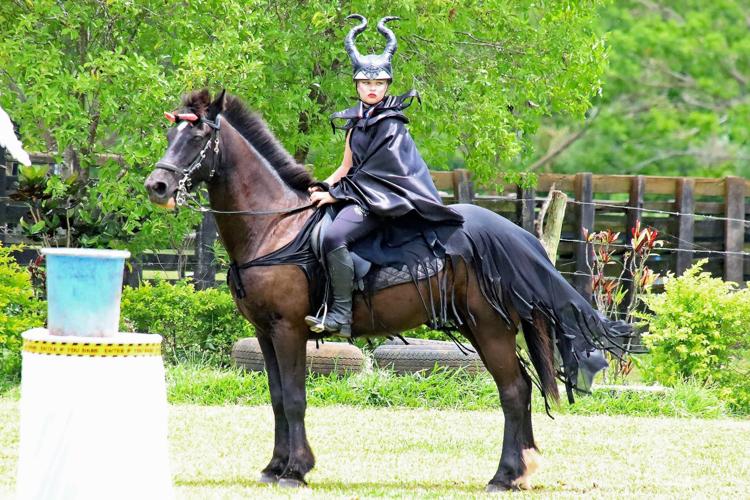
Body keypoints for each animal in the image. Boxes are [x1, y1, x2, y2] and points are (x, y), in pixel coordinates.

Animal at [144, 89, 627, 492]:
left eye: (198, 135)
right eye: (171, 132)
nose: (157, 186)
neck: (275, 227)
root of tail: (516, 236)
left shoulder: (288, 330)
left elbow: (296, 399)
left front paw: (296, 471)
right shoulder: (265, 333)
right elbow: (278, 399)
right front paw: (275, 467)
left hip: (491, 329)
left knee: (513, 391)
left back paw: (505, 476)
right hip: (483, 328)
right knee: (521, 389)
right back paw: (521, 471)